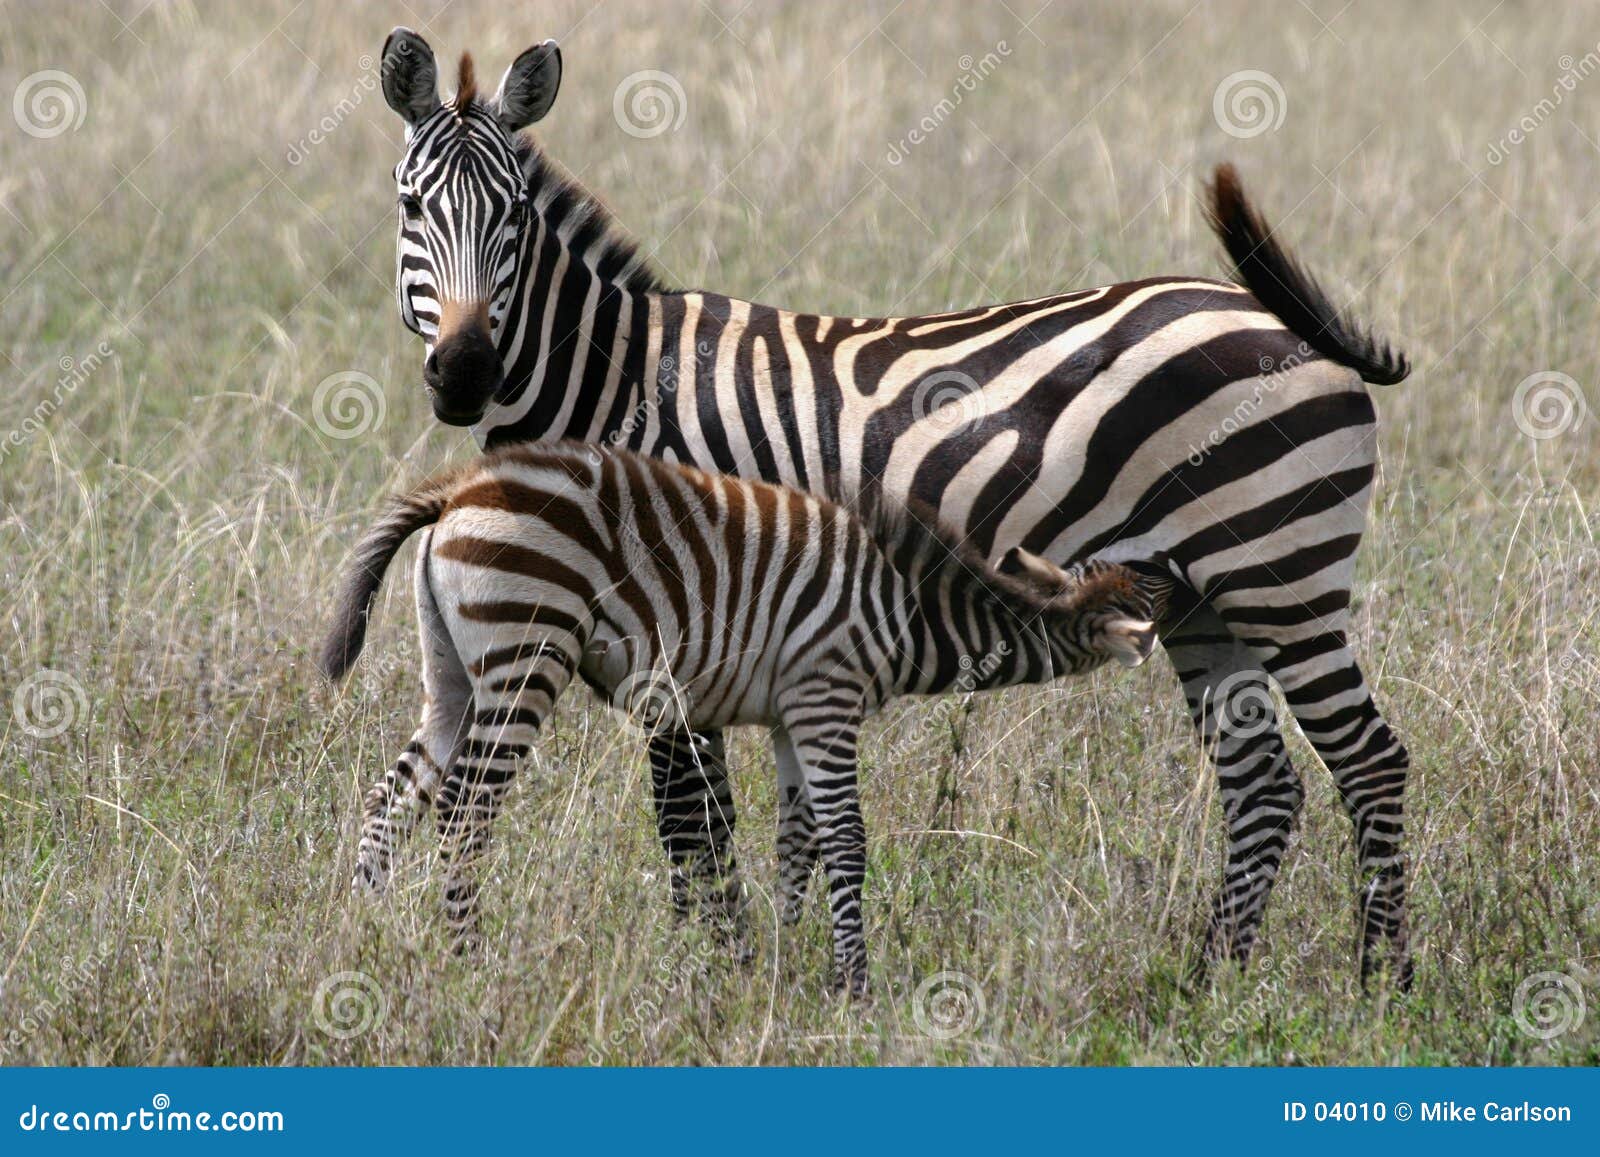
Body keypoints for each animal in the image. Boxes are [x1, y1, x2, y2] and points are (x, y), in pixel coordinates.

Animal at [318, 440, 1158, 991]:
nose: (1167, 638)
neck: (909, 609)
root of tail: (462, 487)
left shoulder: (793, 715)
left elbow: (796, 840)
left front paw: (783, 965)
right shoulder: (827, 694)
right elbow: (845, 839)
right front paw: (855, 984)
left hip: (452, 673)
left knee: (391, 798)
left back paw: (368, 934)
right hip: (527, 650)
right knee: (466, 809)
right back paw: (470, 960)